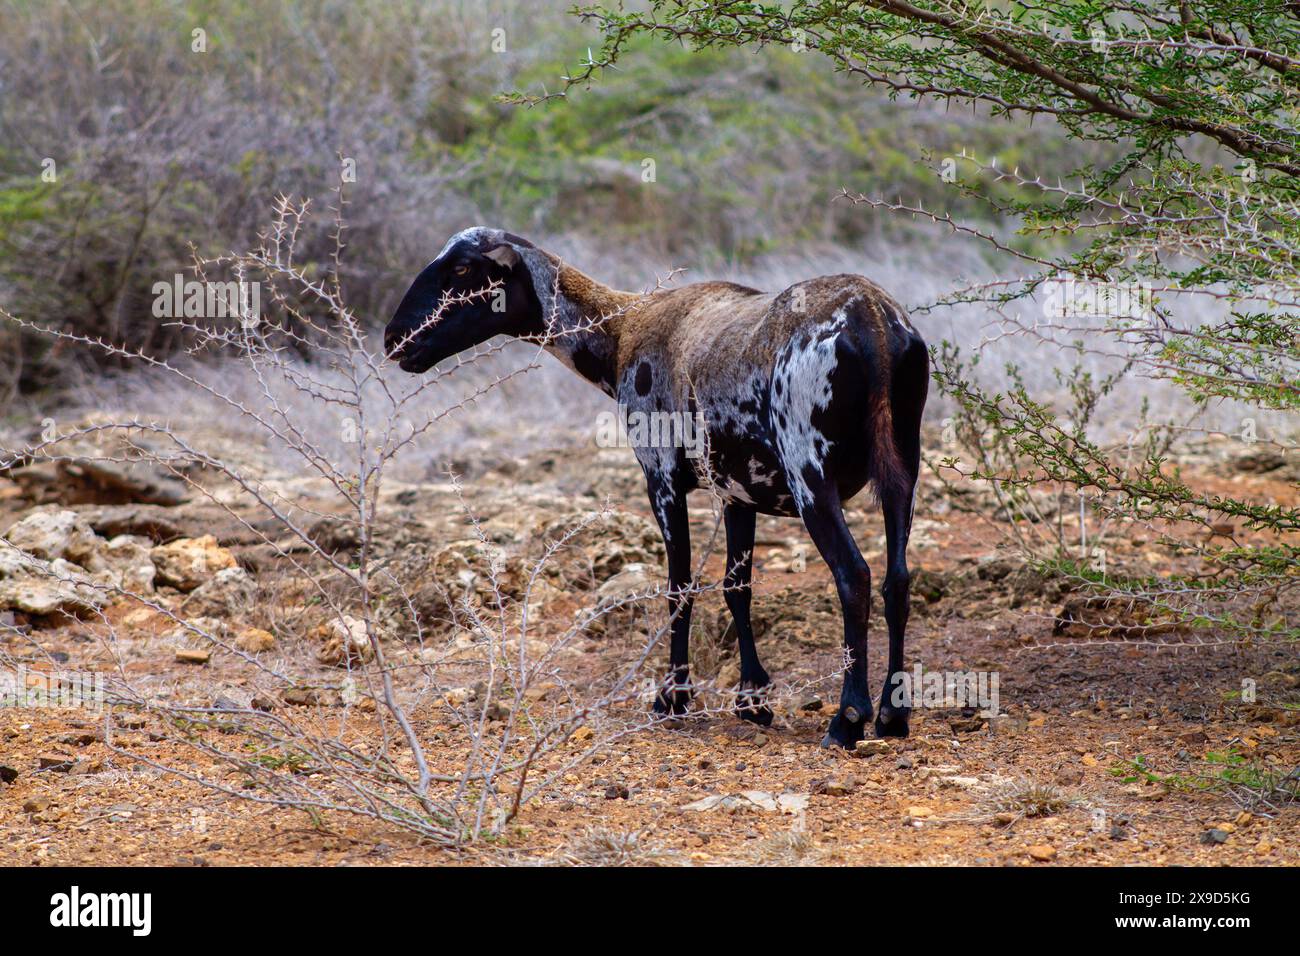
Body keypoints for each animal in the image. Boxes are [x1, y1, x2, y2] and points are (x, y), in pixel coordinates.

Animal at [385, 227, 928, 747]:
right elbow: (736, 588)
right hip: (904, 464)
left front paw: (673, 698)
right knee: (897, 579)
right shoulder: (738, 492)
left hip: (809, 471)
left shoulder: (661, 476)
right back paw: (892, 713)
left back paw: (847, 719)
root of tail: (873, 320)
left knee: (853, 575)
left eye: (461, 267)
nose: (394, 338)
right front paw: (752, 701)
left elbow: (679, 586)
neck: (622, 332)